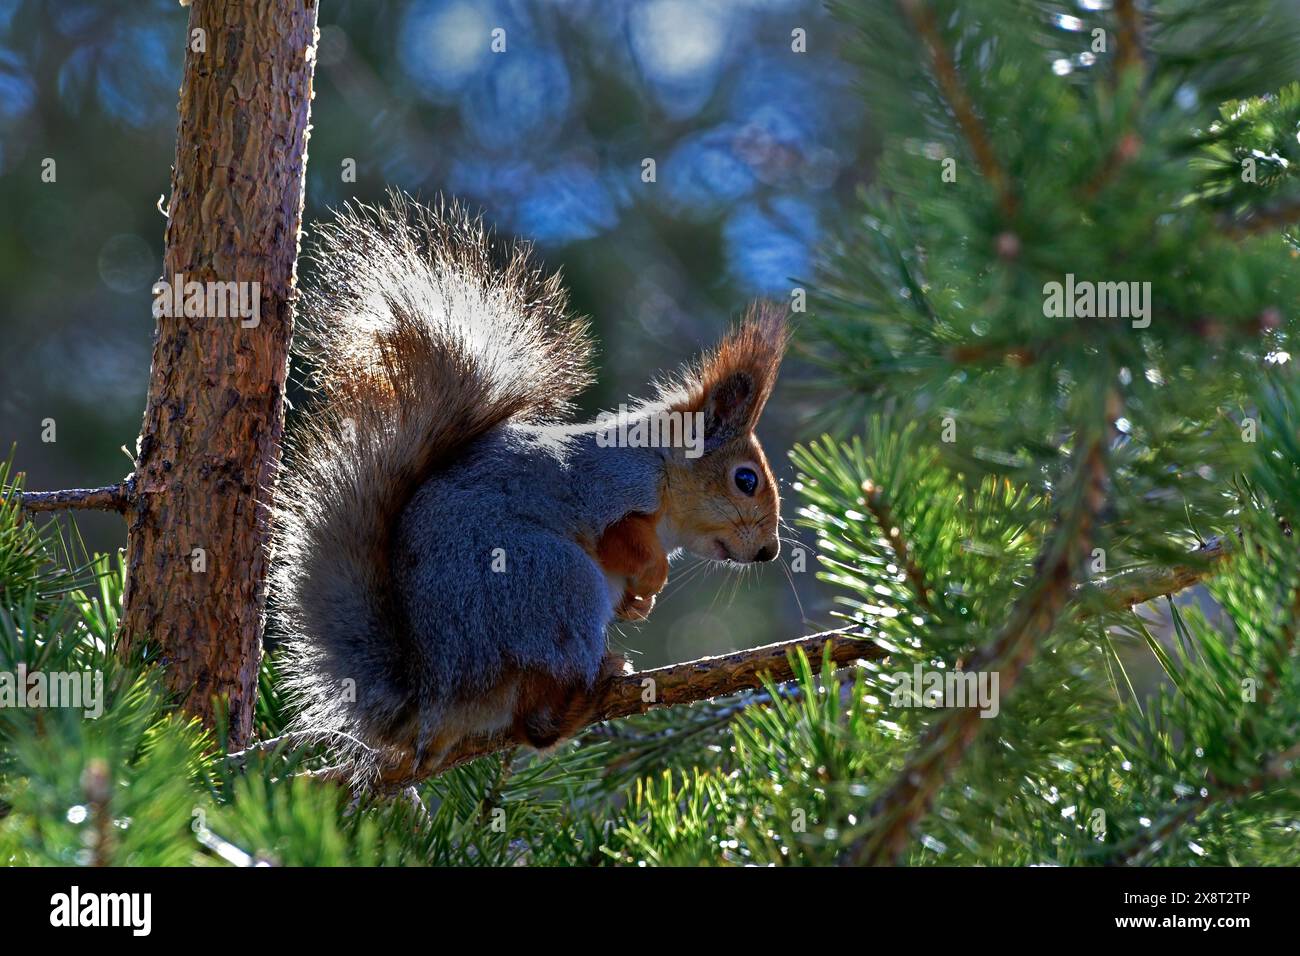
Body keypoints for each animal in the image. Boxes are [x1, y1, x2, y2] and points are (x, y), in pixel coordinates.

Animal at [272, 195, 786, 785]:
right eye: (745, 480)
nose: (770, 551)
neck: (658, 464)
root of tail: (442, 696)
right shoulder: (607, 487)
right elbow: (624, 540)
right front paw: (653, 577)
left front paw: (640, 604)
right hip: (554, 582)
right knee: (537, 719)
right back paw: (596, 685)